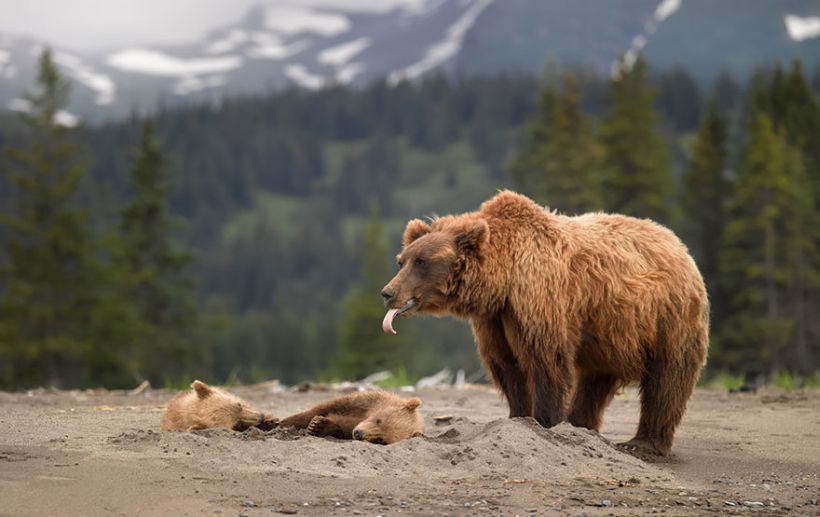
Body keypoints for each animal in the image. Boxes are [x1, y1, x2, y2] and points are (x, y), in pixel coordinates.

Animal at [276, 391, 424, 445]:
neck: (365, 414)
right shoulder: (360, 402)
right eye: (379, 420)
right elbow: (320, 409)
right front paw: (279, 423)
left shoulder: (349, 427)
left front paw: (318, 426)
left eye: (380, 440)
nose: (358, 433)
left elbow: (340, 427)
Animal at [381, 191, 708, 455]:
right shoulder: (495, 319)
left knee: (668, 379)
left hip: (668, 317)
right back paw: (582, 425)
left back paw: (644, 442)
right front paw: (518, 416)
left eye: (422, 261)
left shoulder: (539, 298)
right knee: (595, 381)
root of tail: (678, 244)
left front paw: (546, 422)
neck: (504, 278)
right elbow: (507, 365)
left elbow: (546, 360)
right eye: (402, 260)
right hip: (610, 333)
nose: (388, 292)